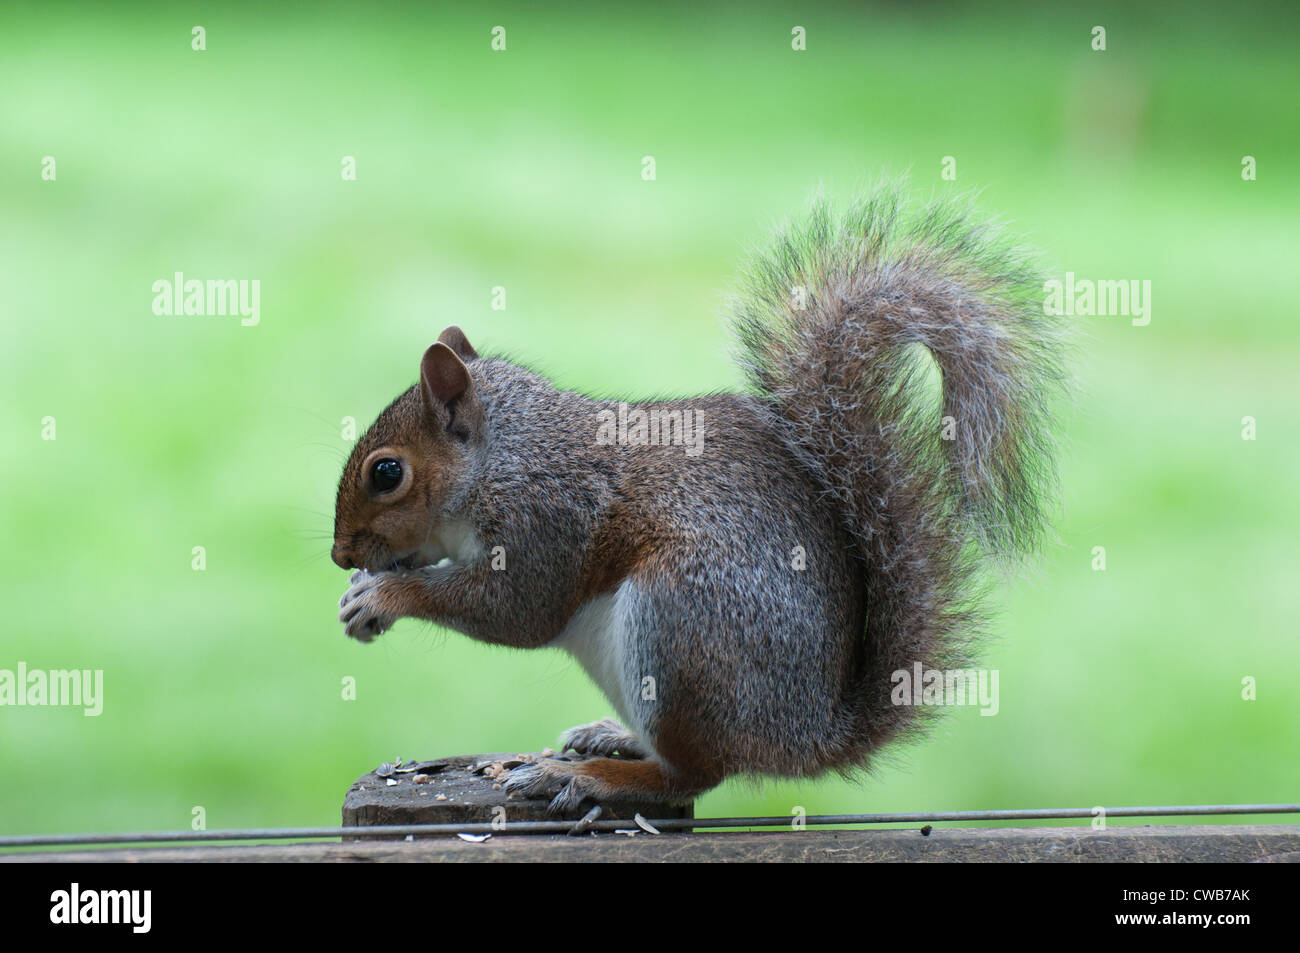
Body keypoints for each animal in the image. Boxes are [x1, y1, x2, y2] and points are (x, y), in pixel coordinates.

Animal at [332, 185, 1069, 813]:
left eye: (387, 472)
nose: (341, 554)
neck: (504, 456)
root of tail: (808, 734)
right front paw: (364, 591)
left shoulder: (547, 517)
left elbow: (516, 610)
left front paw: (384, 596)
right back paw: (610, 738)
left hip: (679, 623)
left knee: (694, 773)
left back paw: (588, 776)